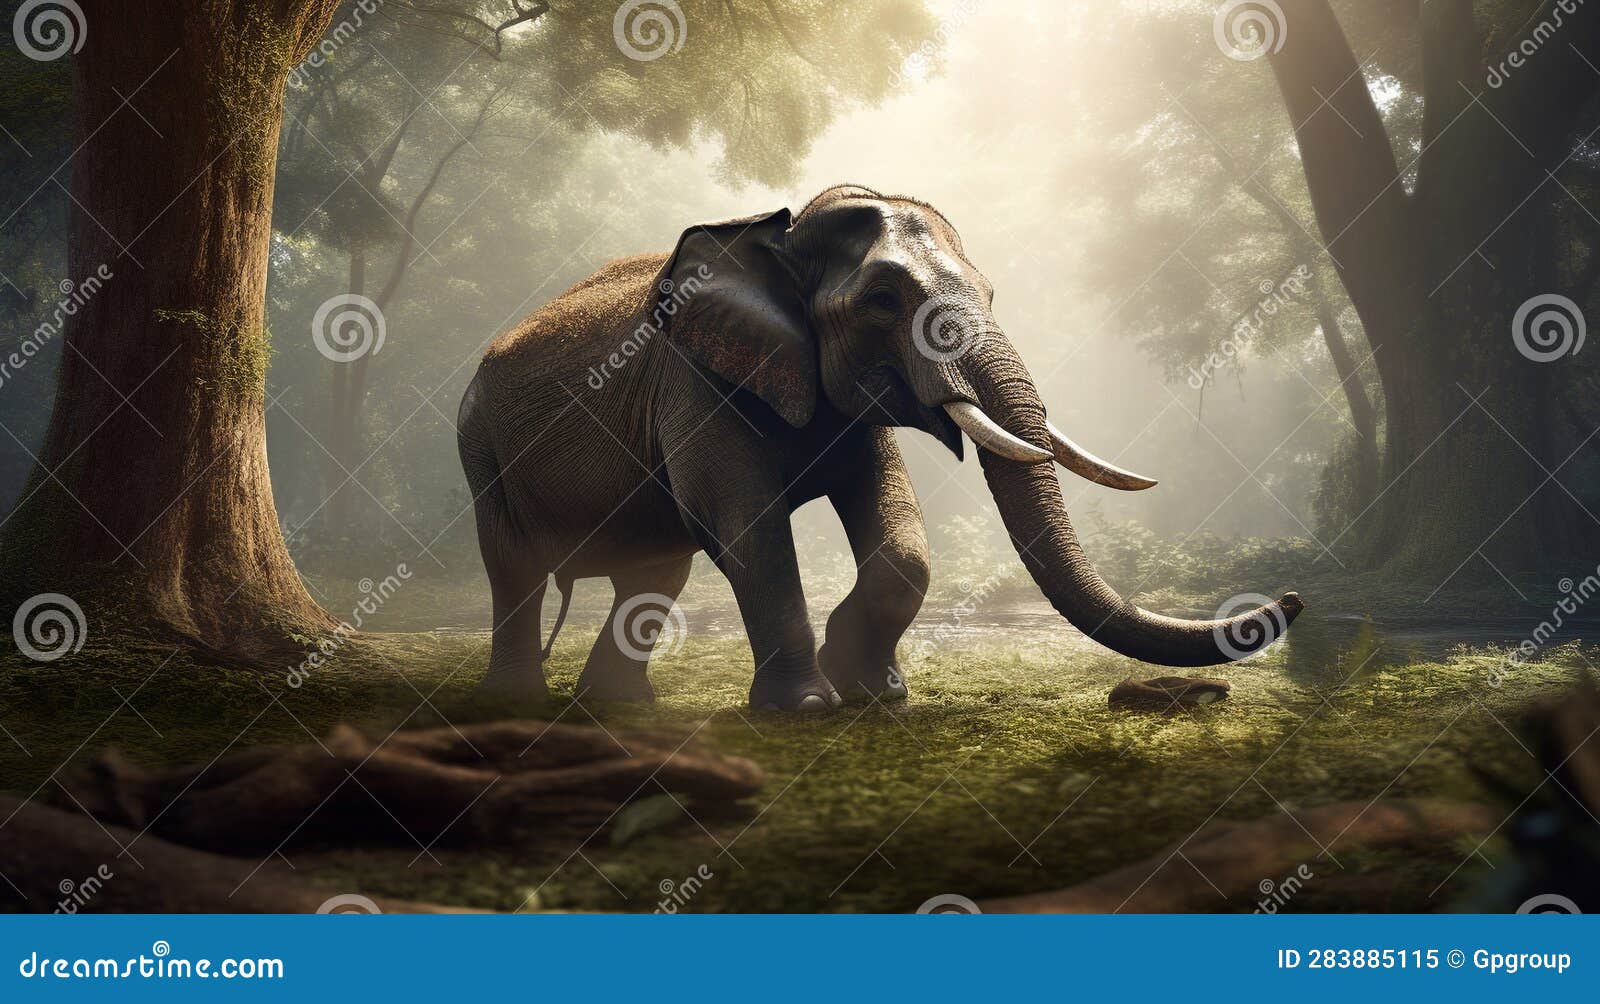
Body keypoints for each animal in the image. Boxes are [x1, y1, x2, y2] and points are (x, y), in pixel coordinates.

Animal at [457, 184, 1303, 711]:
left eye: (990, 295)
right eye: (884, 302)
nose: (1291, 599)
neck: (780, 231)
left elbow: (895, 522)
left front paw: (872, 690)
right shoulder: (695, 381)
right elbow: (744, 526)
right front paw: (806, 706)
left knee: (657, 566)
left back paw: (616, 703)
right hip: (478, 441)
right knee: (517, 562)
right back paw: (518, 702)